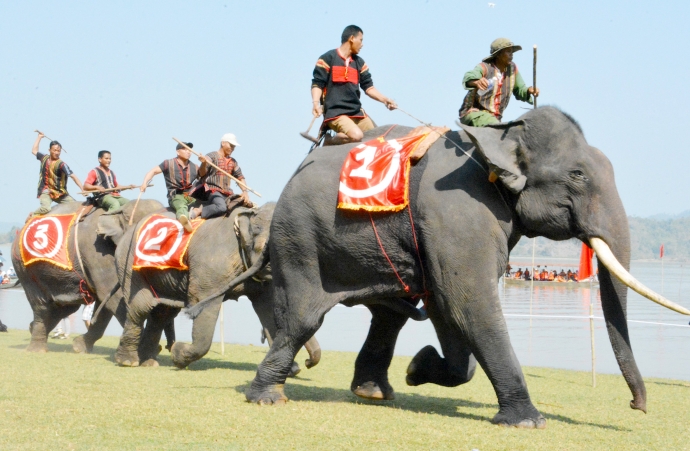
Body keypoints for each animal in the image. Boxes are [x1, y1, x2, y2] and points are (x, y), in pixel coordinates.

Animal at [11, 199, 164, 353]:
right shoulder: (96, 251)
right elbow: (114, 297)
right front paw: (145, 350)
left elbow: (106, 302)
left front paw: (79, 347)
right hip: (25, 270)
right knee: (42, 306)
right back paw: (37, 348)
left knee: (64, 308)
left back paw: (32, 328)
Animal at [111, 202, 321, 373]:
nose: (307, 363)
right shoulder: (210, 266)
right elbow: (202, 302)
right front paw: (178, 355)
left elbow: (267, 309)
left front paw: (290, 370)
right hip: (128, 262)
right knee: (143, 306)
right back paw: (128, 362)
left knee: (162, 312)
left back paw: (148, 362)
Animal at [192, 106, 688, 428]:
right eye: (578, 176)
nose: (637, 407)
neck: (499, 136)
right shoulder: (459, 213)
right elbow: (469, 303)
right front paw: (527, 423)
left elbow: (450, 308)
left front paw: (419, 369)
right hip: (300, 239)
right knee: (304, 316)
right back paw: (267, 398)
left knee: (387, 315)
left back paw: (373, 391)